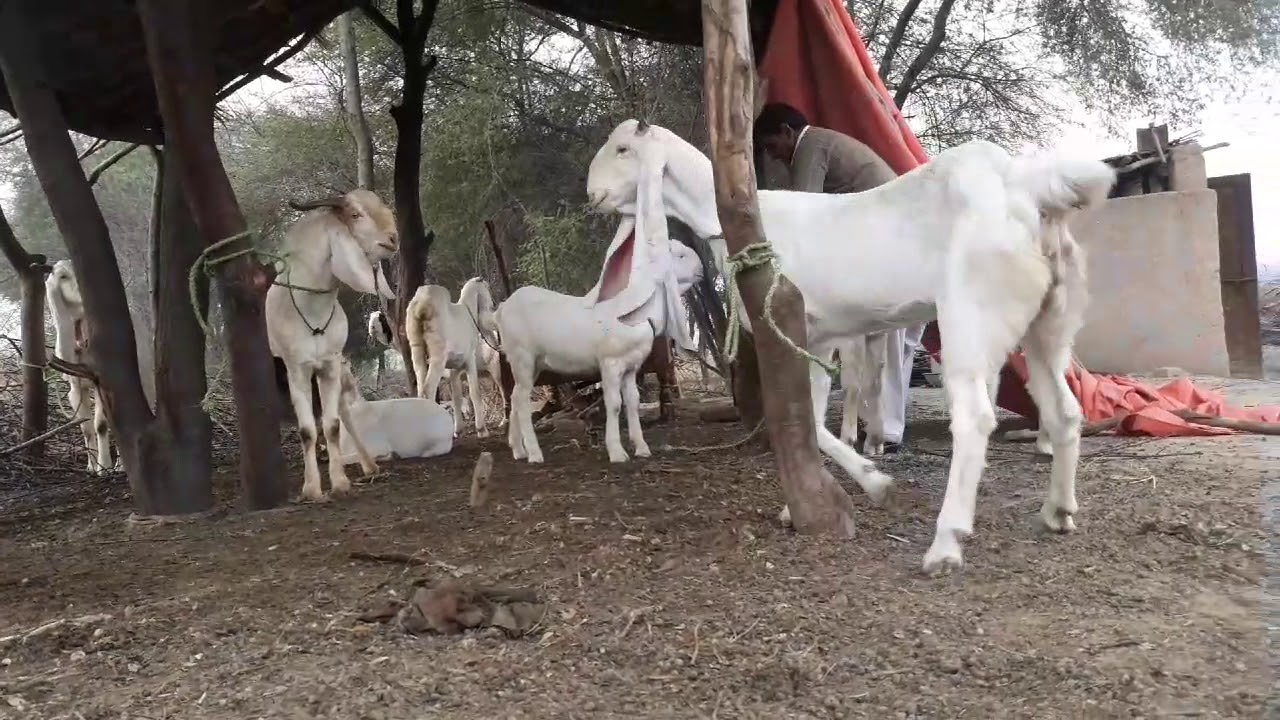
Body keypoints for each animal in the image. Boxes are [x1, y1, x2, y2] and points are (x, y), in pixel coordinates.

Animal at [45, 260, 116, 473]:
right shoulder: (75, 387)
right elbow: (86, 427)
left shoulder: (102, 383)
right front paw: (91, 467)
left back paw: (121, 466)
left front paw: (105, 468)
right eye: (62, 276)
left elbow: (101, 424)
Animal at [266, 189, 397, 502]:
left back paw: (368, 465)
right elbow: (306, 430)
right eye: (355, 215)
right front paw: (312, 489)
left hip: (341, 371)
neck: (310, 309)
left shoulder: (329, 365)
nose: (393, 239)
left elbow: (334, 425)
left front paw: (339, 483)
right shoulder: (297, 370)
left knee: (345, 414)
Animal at [404, 277, 504, 437]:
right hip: (438, 357)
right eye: (486, 288)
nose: (492, 304)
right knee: (428, 389)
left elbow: (457, 398)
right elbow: (474, 393)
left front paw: (458, 430)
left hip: (416, 351)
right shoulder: (469, 361)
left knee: (420, 388)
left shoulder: (454, 369)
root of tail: (421, 305)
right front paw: (482, 430)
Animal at [586, 119, 1115, 574]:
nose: (593, 195)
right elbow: (811, 419)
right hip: (1049, 320)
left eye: (623, 149)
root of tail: (1027, 186)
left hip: (971, 313)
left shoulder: (788, 329)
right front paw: (800, 506)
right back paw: (1058, 511)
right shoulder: (816, 341)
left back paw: (945, 543)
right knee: (1065, 409)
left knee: (975, 419)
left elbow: (798, 417)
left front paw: (876, 483)